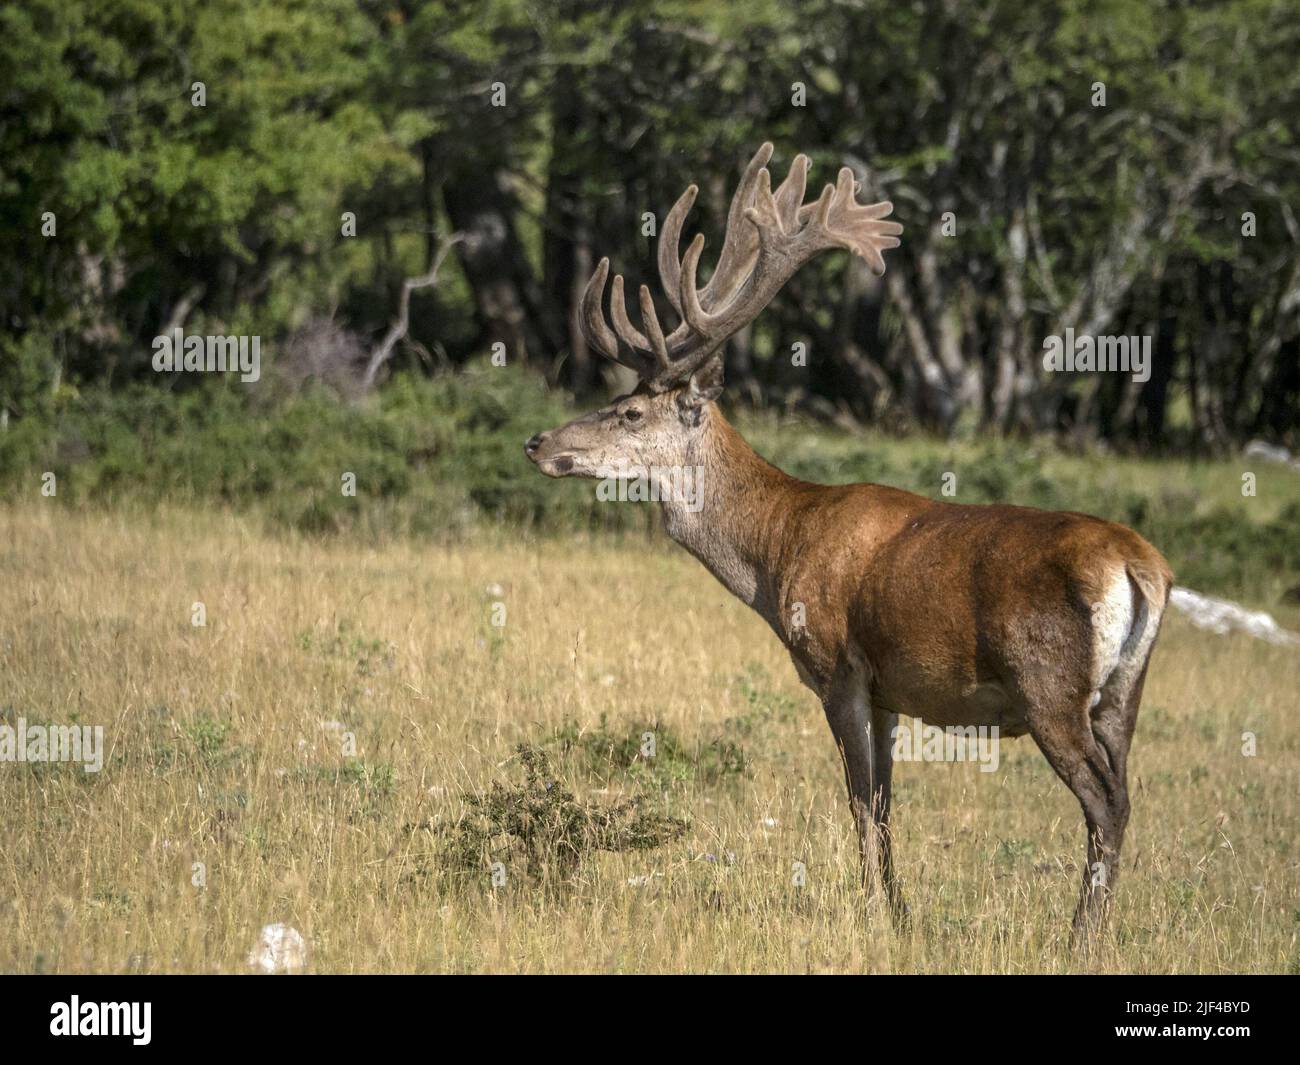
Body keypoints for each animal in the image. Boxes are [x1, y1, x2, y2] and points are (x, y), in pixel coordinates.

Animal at [524, 143, 1173, 945]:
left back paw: (1079, 935)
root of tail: (1140, 566)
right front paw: (899, 909)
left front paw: (875, 916)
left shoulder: (838, 665)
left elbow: (860, 801)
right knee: (1125, 794)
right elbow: (888, 803)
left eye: (631, 412)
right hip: (1123, 692)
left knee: (1102, 801)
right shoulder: (891, 689)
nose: (539, 441)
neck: (777, 553)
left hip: (1048, 684)